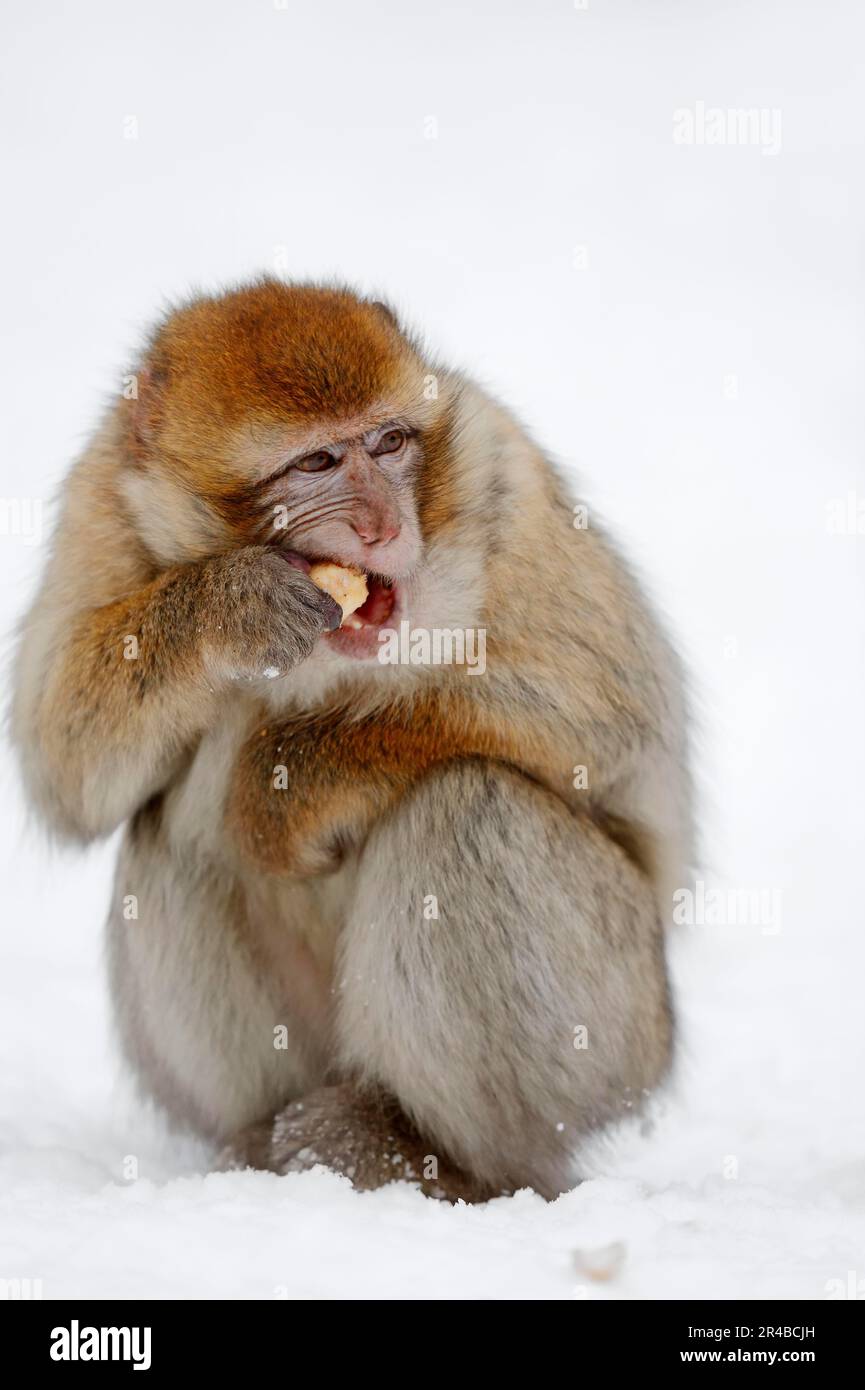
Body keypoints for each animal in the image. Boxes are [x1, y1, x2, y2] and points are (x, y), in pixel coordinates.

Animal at [11, 278, 693, 1201]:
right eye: (317, 464)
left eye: (389, 442)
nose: (379, 526)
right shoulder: (105, 497)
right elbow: (62, 766)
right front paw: (226, 607)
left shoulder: (495, 469)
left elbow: (608, 708)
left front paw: (287, 784)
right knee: (168, 832)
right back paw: (261, 1144)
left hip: (621, 1042)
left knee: (472, 804)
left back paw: (427, 1154)